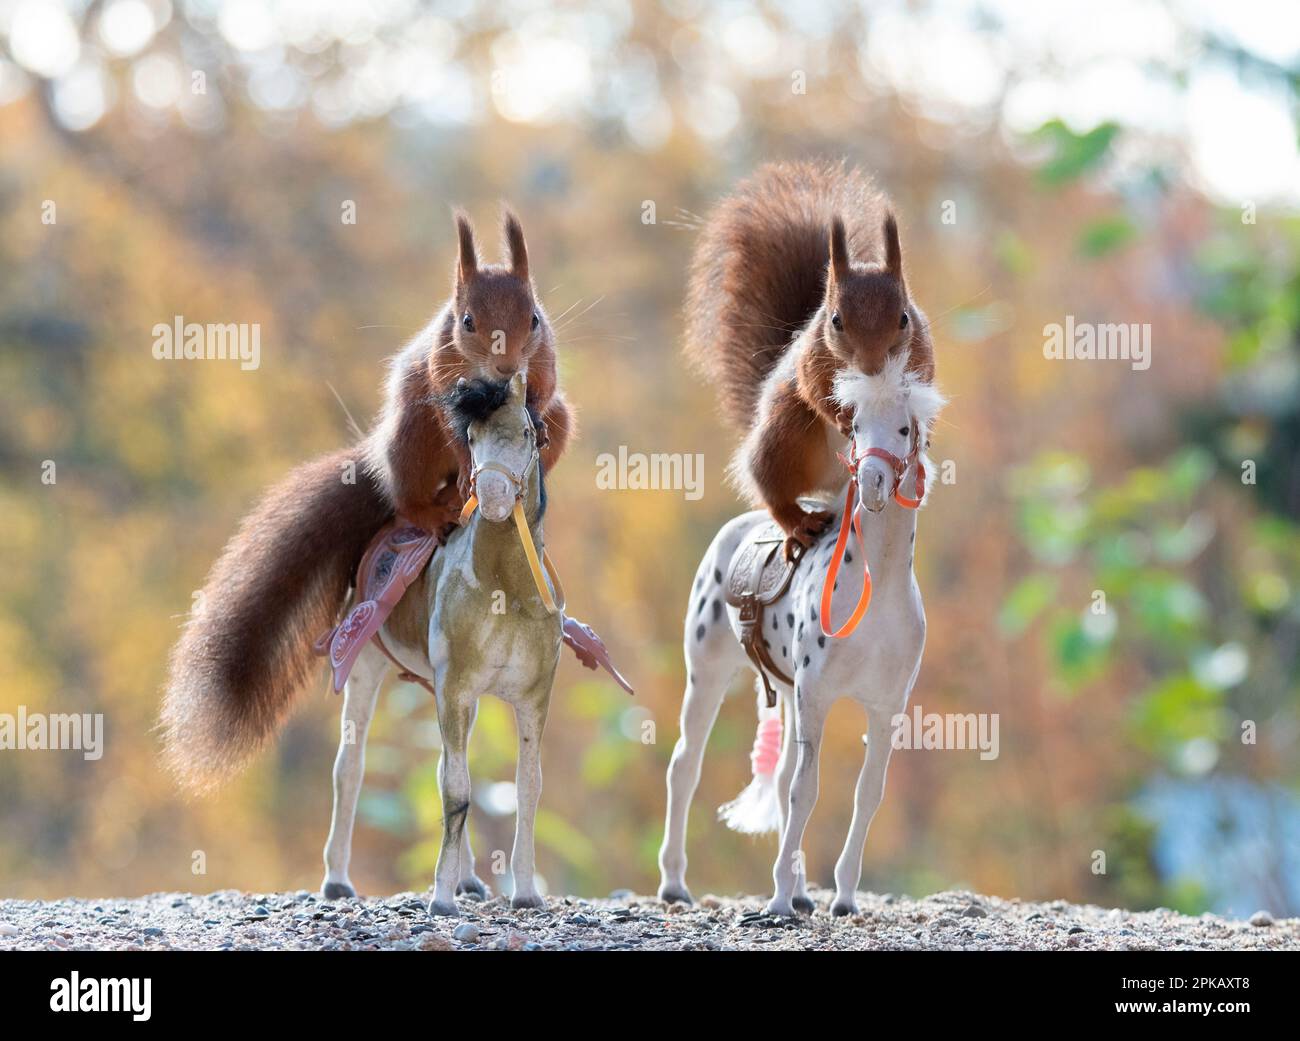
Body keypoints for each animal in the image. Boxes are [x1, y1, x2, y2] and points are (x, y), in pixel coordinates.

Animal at [321, 371, 562, 916]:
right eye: (471, 437)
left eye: (526, 434)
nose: (493, 496)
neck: (503, 591)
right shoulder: (454, 690)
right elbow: (457, 791)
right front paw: (441, 898)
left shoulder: (532, 699)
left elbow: (528, 788)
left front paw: (526, 893)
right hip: (367, 669)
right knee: (349, 768)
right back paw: (337, 880)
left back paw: (471, 881)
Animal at [658, 356, 945, 917]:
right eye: (855, 429)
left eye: (904, 430)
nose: (873, 482)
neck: (876, 593)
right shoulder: (818, 696)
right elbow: (804, 792)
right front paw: (777, 903)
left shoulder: (885, 708)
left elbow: (866, 793)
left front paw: (843, 897)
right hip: (708, 677)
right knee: (685, 767)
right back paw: (675, 884)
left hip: (788, 693)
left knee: (781, 771)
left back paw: (800, 889)